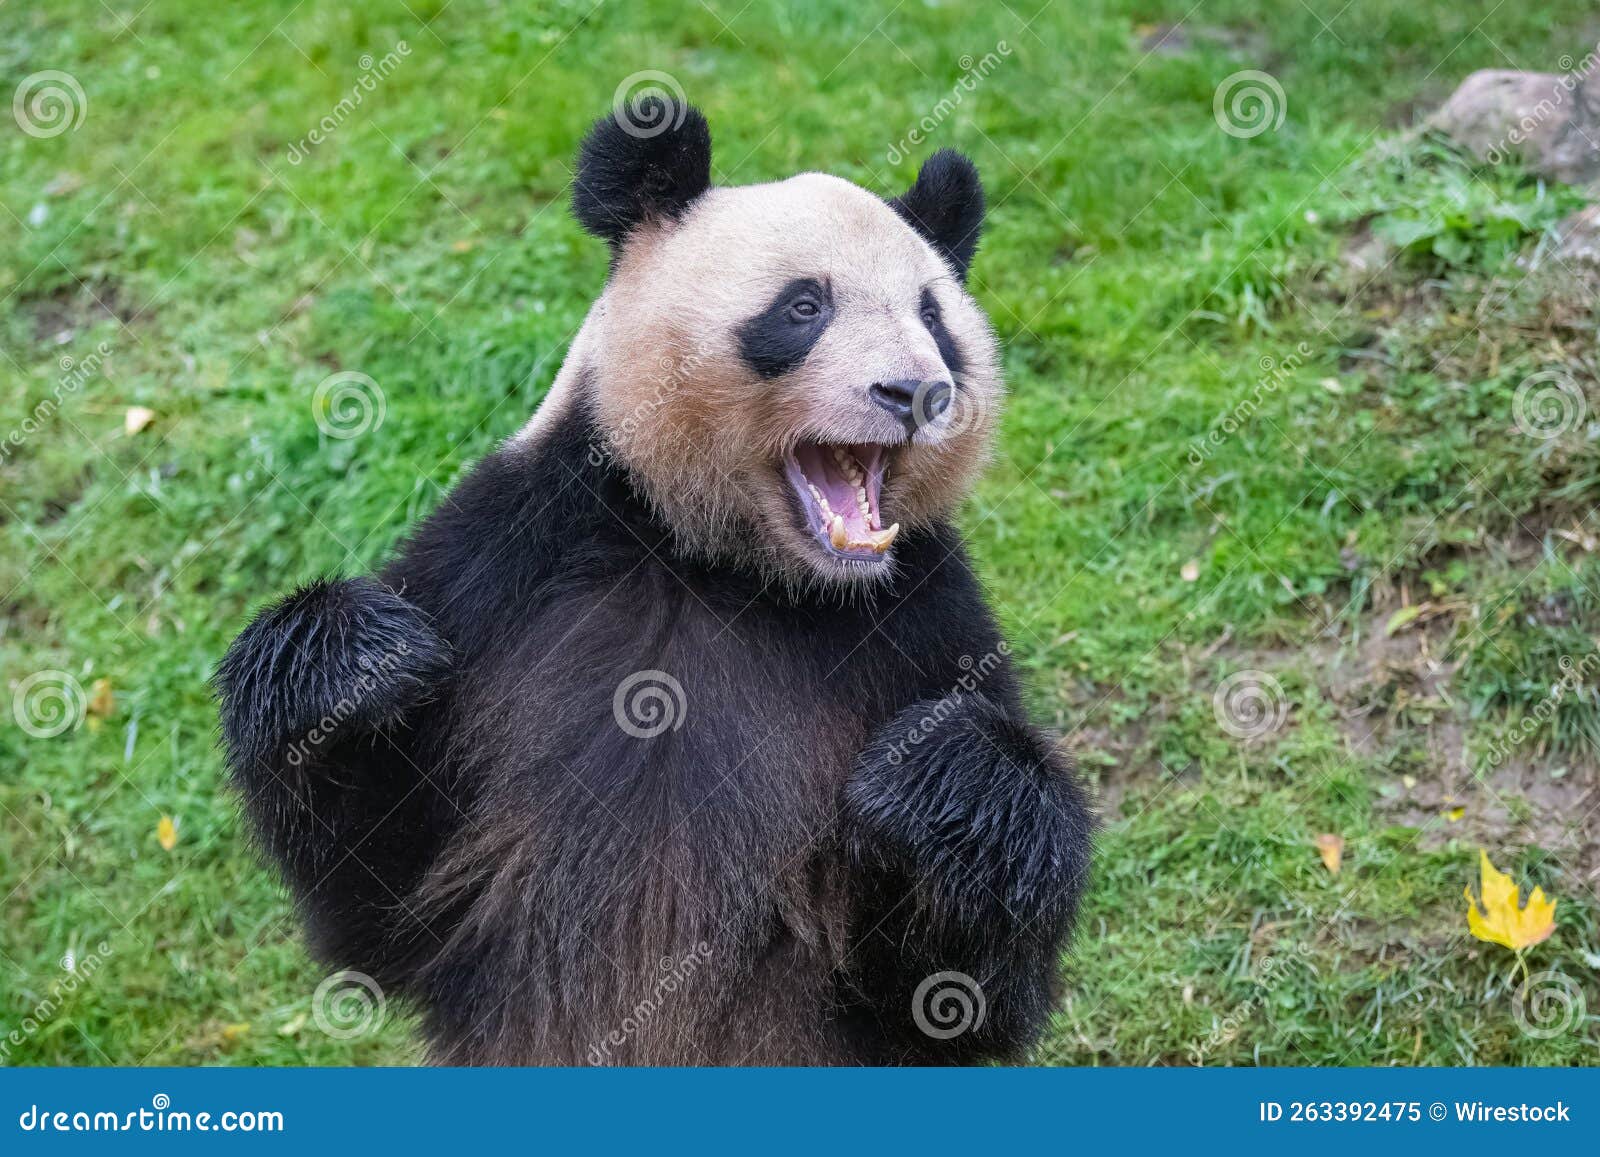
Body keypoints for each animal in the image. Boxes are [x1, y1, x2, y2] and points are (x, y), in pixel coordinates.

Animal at [217, 97, 1094, 1066]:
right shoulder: (506, 561)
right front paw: (360, 665)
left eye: (934, 318)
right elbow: (381, 903)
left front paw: (939, 782)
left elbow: (953, 994)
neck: (723, 563)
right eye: (804, 306)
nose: (917, 392)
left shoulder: (925, 619)